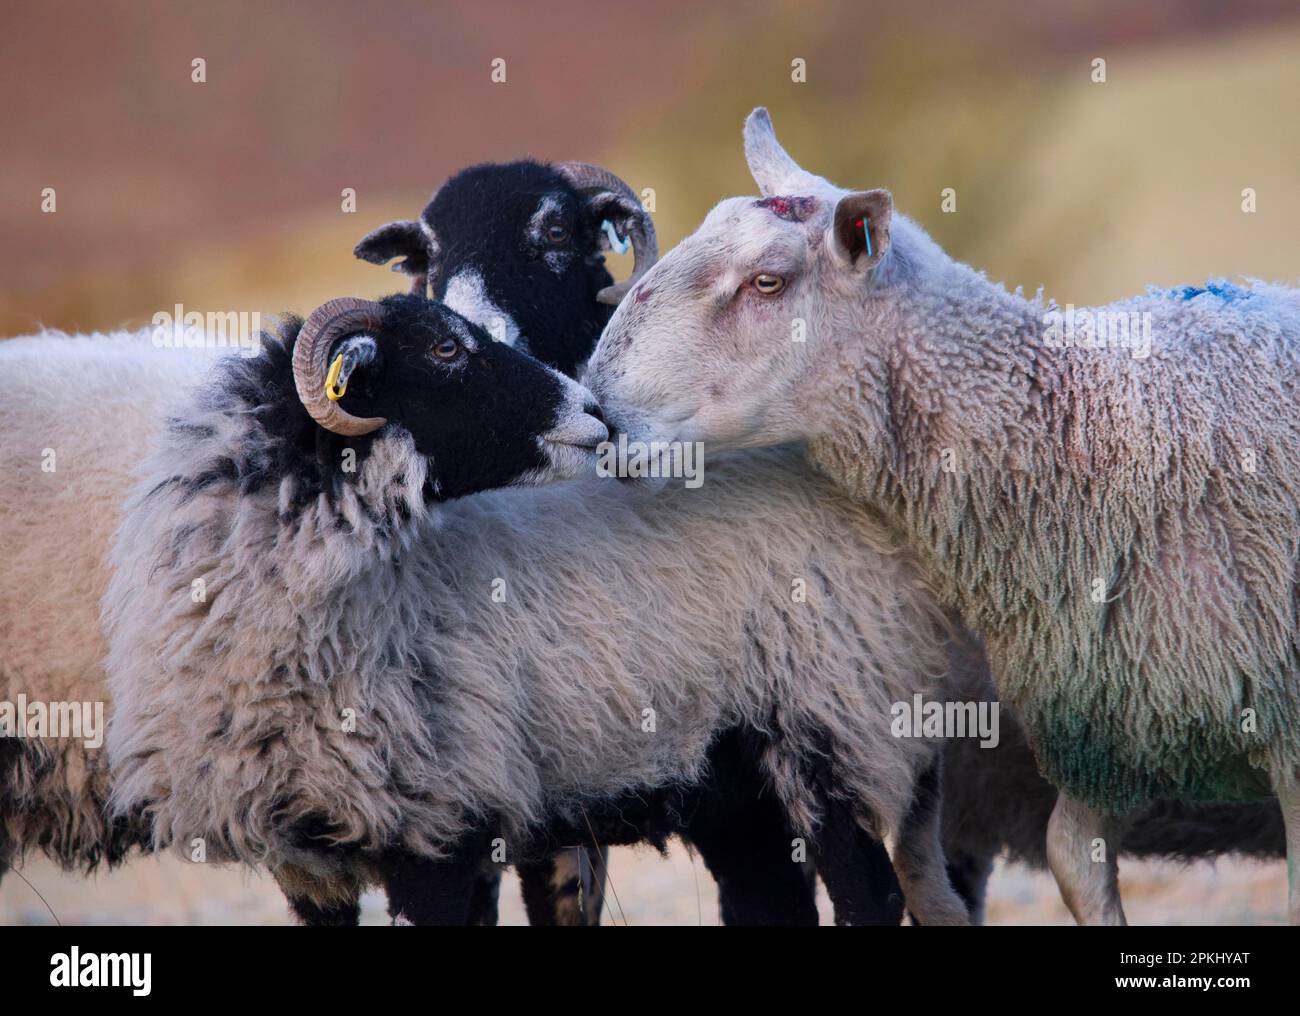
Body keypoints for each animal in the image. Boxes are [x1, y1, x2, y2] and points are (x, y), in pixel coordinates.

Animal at [97, 291, 973, 925]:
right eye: (446, 349)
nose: (597, 415)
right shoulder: (306, 861)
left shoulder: (443, 822)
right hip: (742, 787)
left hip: (832, 722)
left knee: (870, 899)